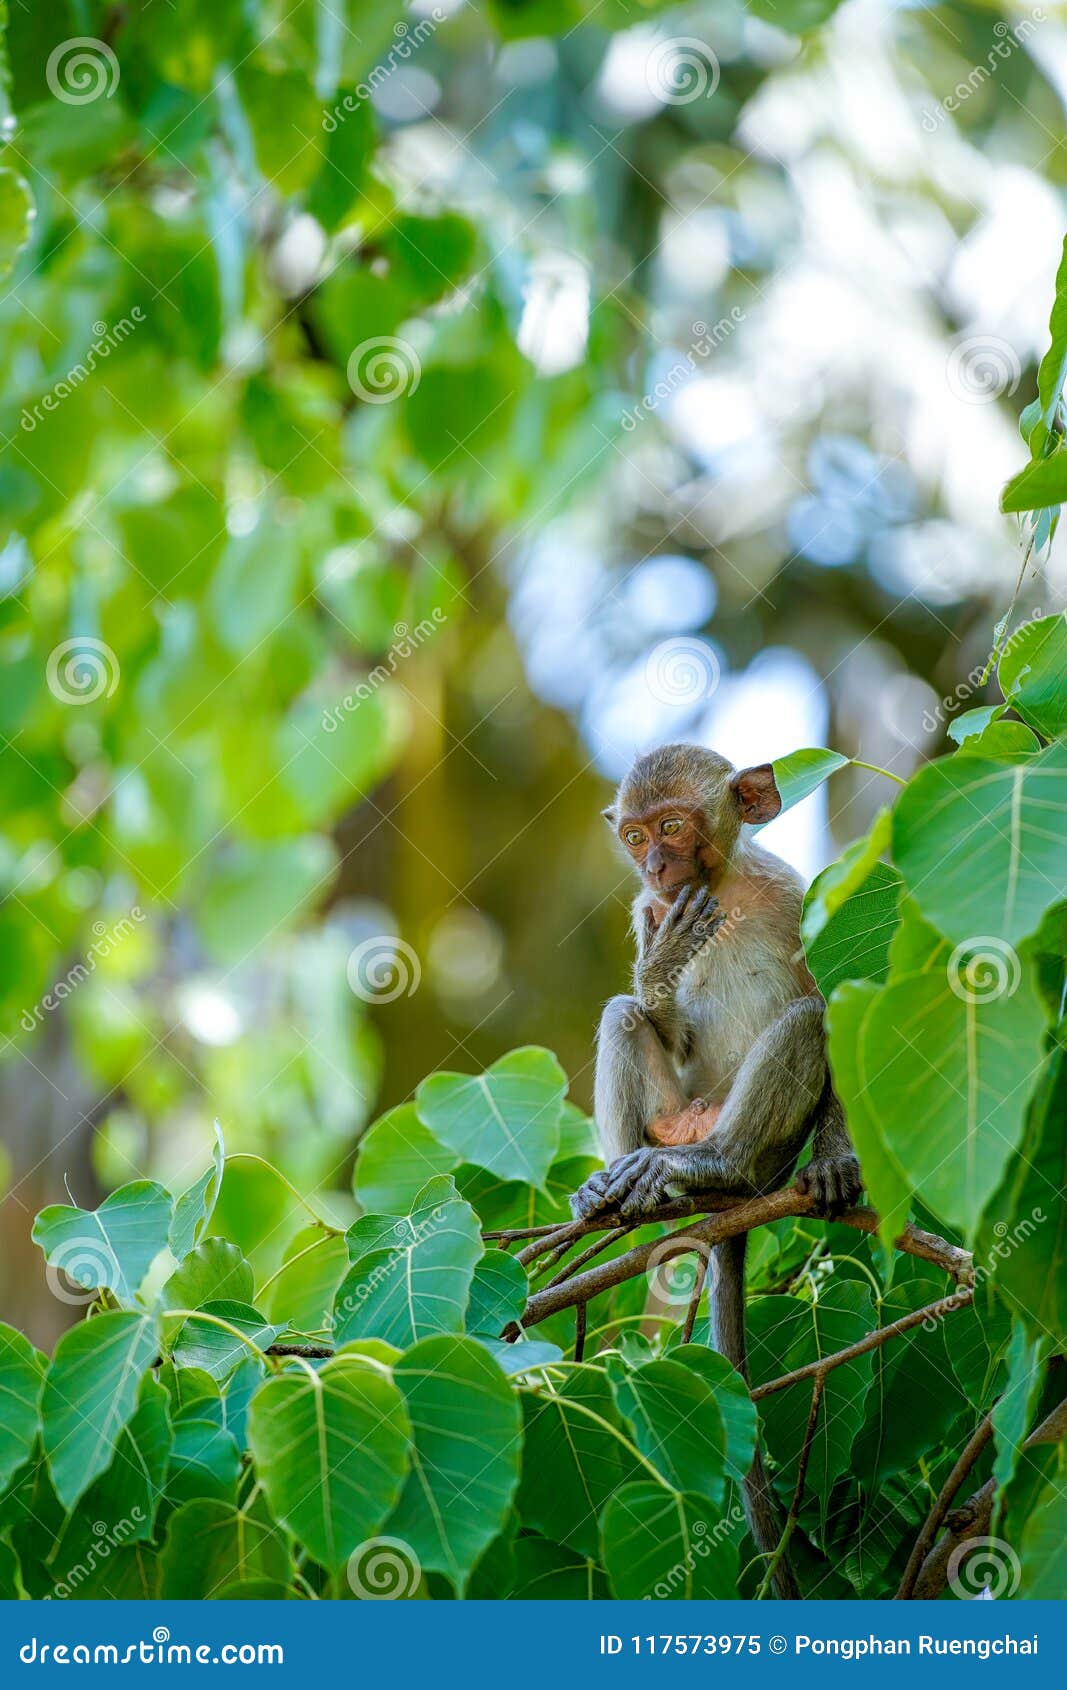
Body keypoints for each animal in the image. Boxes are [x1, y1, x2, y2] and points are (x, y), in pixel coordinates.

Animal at [571, 743, 863, 1598]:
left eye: (672, 826)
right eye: (635, 837)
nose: (657, 865)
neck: (726, 887)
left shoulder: (796, 898)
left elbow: (830, 999)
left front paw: (836, 1159)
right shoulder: (643, 908)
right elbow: (656, 1010)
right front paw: (663, 962)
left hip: (765, 1148)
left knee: (805, 1018)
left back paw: (713, 1165)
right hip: (671, 1108)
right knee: (621, 1017)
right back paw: (619, 1182)